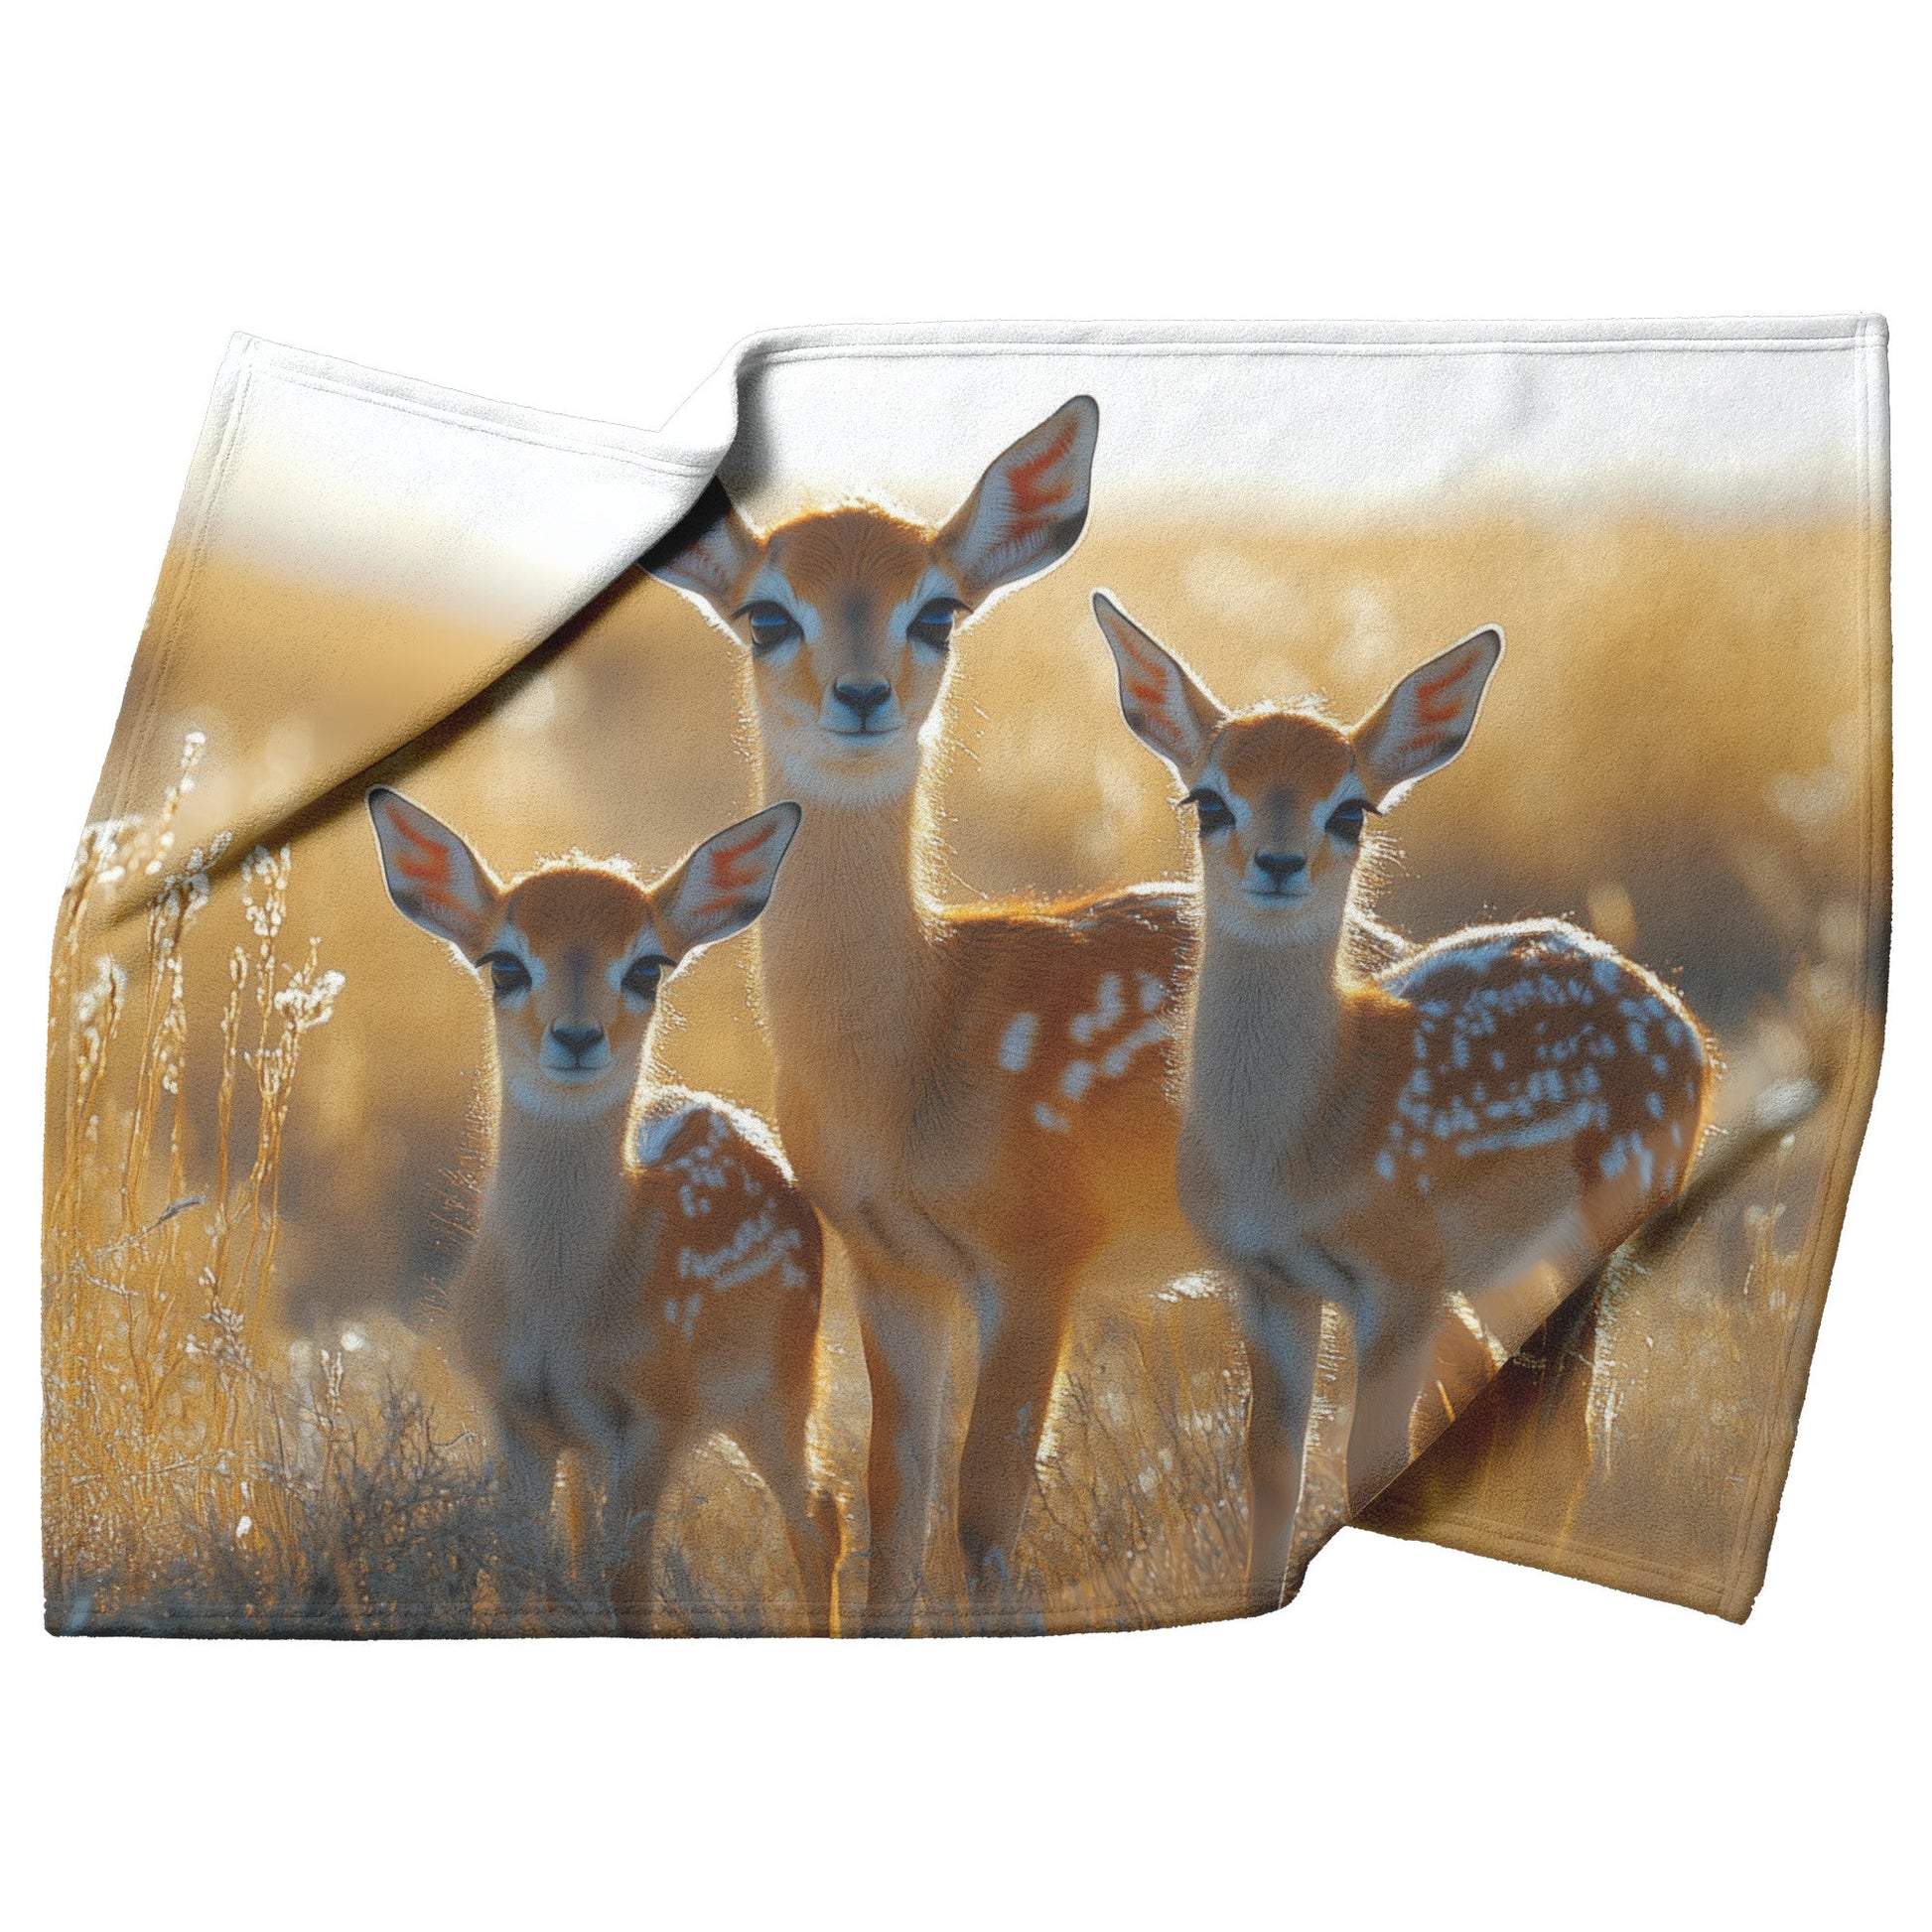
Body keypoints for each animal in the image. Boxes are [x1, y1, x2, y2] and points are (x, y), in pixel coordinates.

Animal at [366, 786, 838, 1635]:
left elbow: (631, 1592)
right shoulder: (515, 1409)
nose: (578, 1036)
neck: (566, 1308)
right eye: (505, 964)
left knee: (819, 1515)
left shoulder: (656, 1410)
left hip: (783, 1377)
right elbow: (519, 1577)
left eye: (648, 966)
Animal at [1091, 592, 1712, 1612]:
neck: (1307, 1138)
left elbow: (1370, 1468)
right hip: (1508, 1264)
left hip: (1608, 1218)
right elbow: (1271, 1469)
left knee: (1572, 1434)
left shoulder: (1403, 1274)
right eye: (1208, 799)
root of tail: (1690, 1031)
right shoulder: (1263, 1278)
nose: (1278, 861)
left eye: (1352, 810)